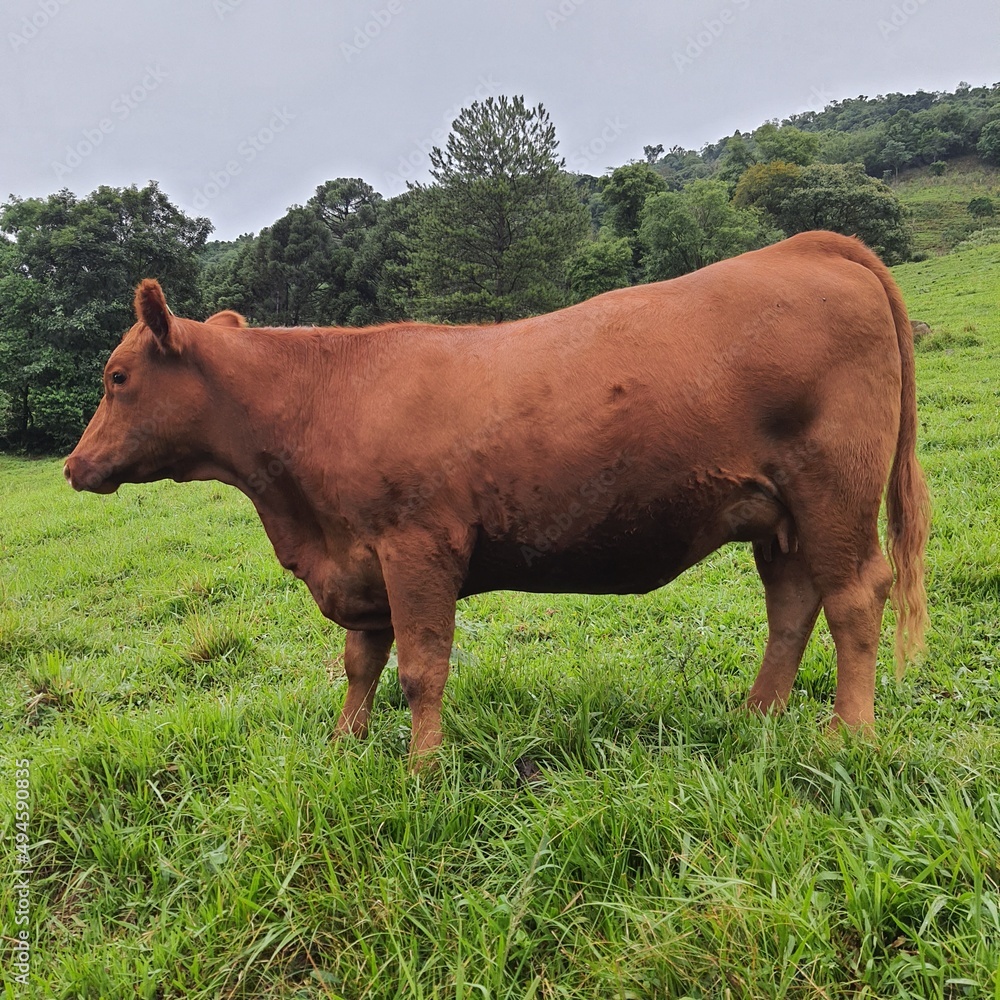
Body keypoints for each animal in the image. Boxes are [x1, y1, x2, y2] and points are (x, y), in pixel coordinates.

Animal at [64, 231, 930, 766]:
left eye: (116, 376)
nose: (73, 465)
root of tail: (808, 245)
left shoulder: (417, 546)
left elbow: (421, 667)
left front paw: (422, 768)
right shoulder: (362, 560)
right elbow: (359, 663)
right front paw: (346, 745)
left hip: (833, 489)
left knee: (856, 597)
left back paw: (847, 736)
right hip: (776, 515)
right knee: (792, 607)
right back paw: (757, 717)